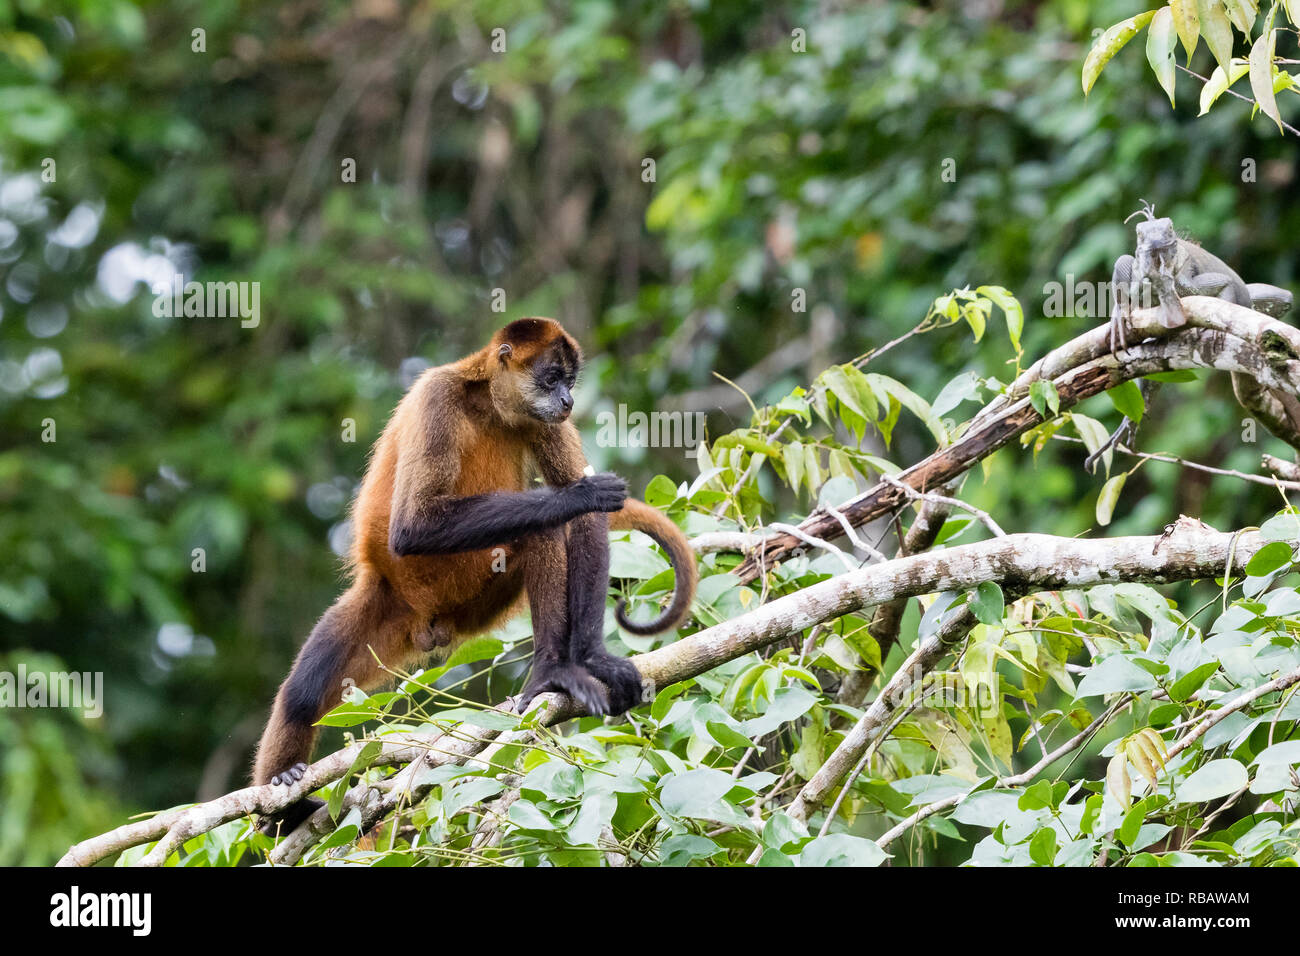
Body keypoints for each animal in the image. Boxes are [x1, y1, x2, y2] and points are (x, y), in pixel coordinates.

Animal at [251, 317, 697, 833]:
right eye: (552, 378)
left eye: (571, 381)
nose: (568, 401)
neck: (490, 405)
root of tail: (426, 619)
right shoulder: (438, 396)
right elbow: (414, 526)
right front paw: (578, 496)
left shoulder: (541, 420)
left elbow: (588, 526)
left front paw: (594, 659)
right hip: (396, 594)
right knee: (302, 695)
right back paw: (285, 805)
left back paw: (553, 673)